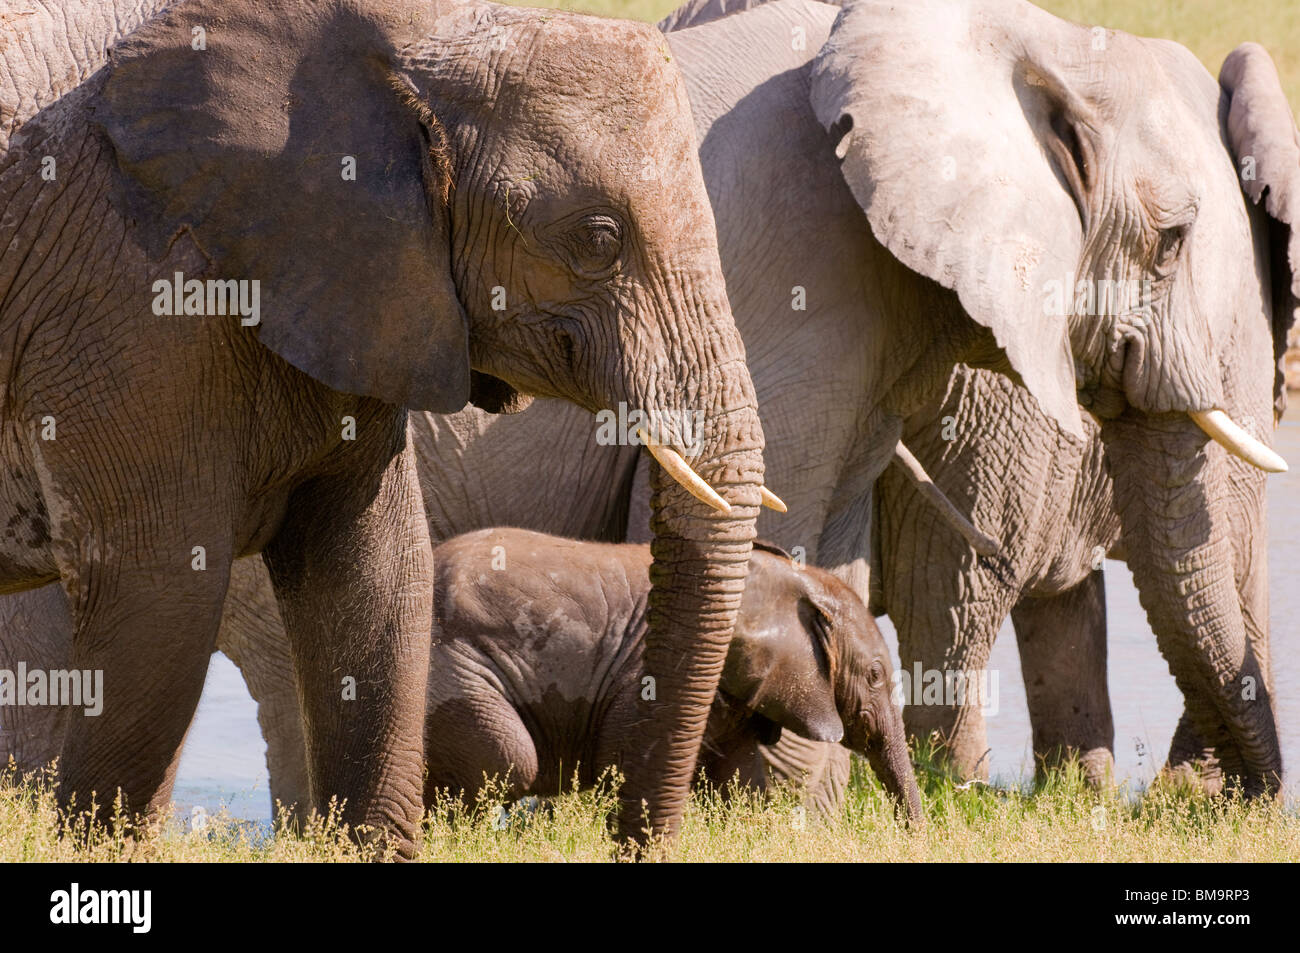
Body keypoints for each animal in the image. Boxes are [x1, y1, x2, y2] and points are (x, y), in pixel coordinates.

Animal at [0, 0, 772, 852]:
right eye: (598, 239)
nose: (627, 837)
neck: (420, 35)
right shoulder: (128, 300)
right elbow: (161, 596)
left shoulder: (366, 293)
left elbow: (375, 576)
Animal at [420, 528, 922, 823]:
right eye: (875, 675)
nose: (913, 838)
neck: (788, 578)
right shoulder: (648, 672)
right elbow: (624, 760)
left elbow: (739, 782)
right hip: (452, 669)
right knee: (509, 758)